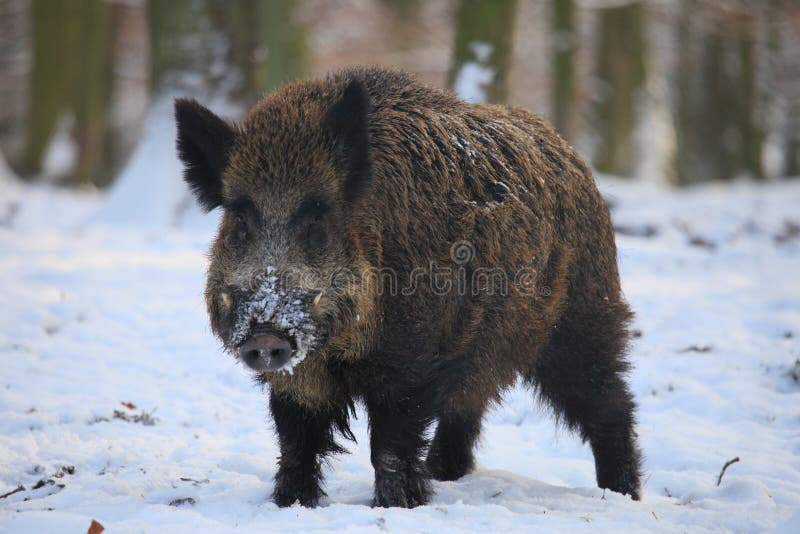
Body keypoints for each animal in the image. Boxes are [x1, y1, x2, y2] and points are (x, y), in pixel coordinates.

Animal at [174, 66, 642, 508]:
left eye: (317, 215)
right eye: (239, 217)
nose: (265, 335)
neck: (340, 348)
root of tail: (571, 155)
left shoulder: (411, 360)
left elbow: (390, 445)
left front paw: (398, 505)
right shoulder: (299, 376)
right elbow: (296, 441)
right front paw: (290, 503)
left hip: (582, 318)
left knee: (610, 402)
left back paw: (623, 494)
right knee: (469, 405)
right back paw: (444, 475)